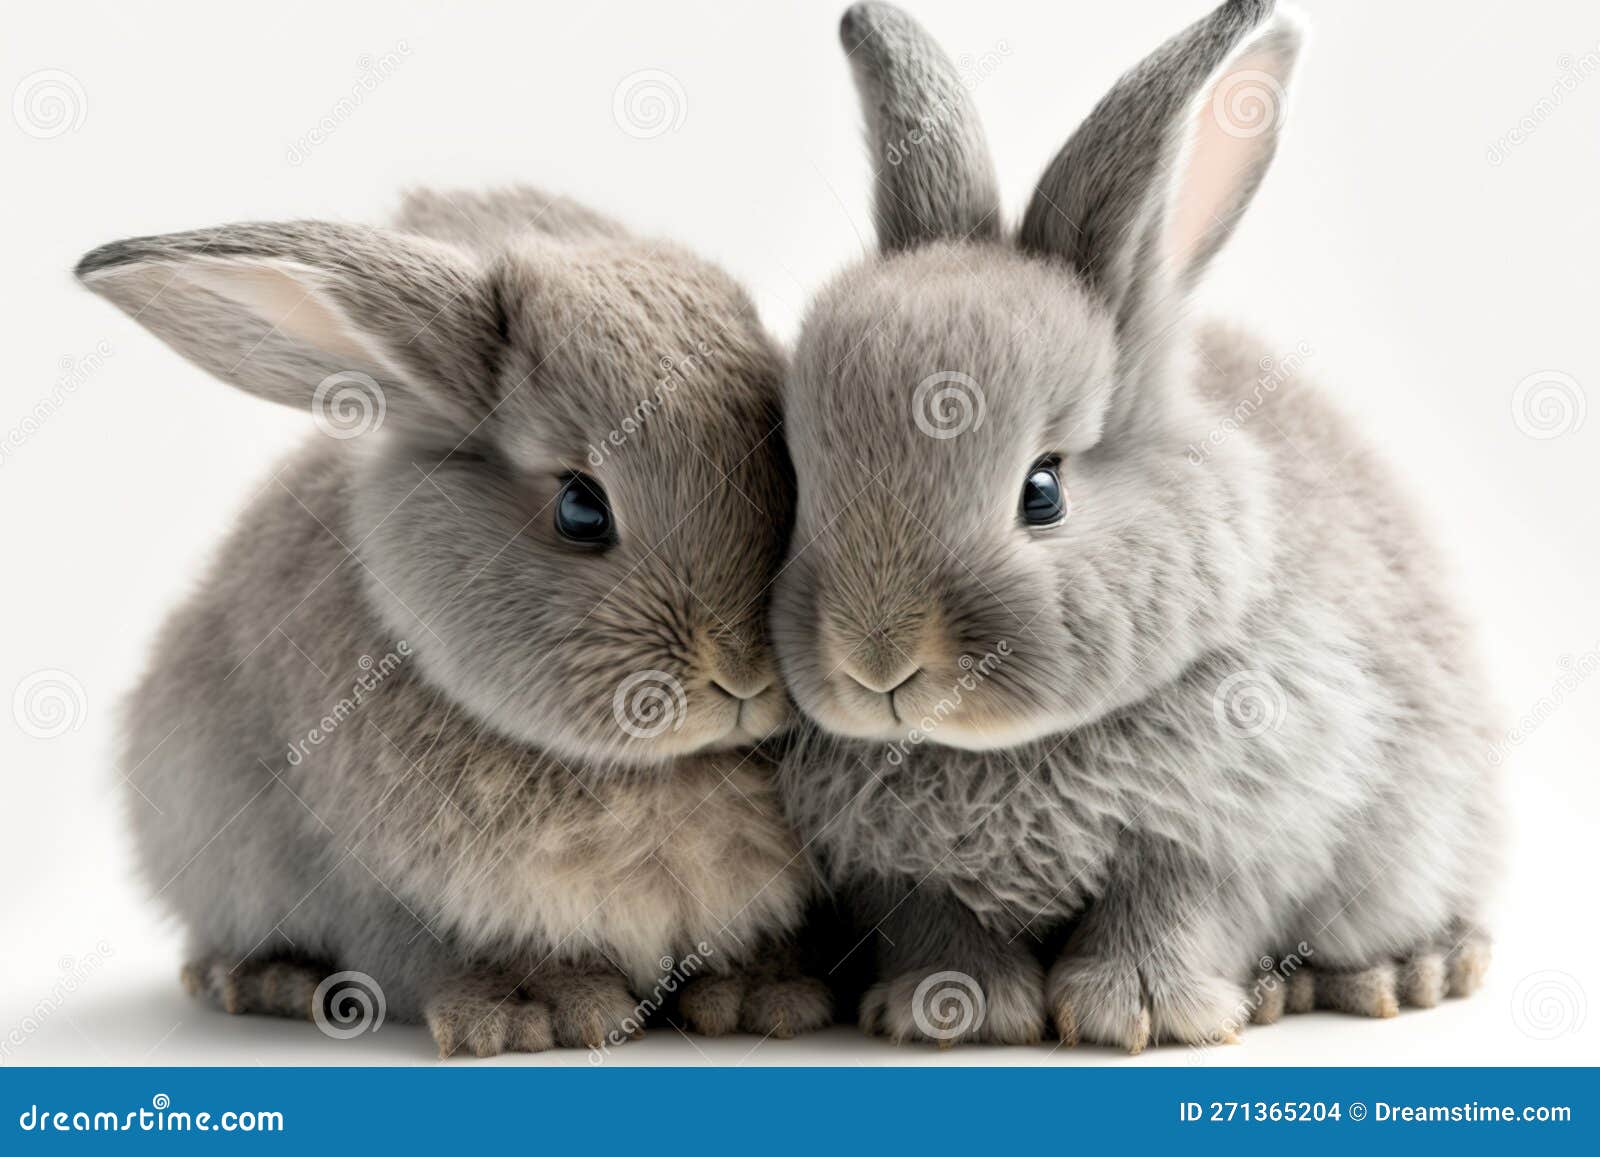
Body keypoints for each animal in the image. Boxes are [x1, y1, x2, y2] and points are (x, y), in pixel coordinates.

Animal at [77, 184, 833, 1056]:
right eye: (581, 509)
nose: (741, 675)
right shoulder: (382, 893)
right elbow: (450, 956)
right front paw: (534, 1010)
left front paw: (760, 996)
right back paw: (265, 978)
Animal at [771, 0, 1500, 1050]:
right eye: (797, 475)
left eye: (1043, 490)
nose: (876, 662)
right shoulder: (890, 871)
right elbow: (935, 920)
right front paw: (954, 1011)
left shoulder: (1231, 836)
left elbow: (1174, 907)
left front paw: (1140, 1011)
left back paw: (1408, 970)